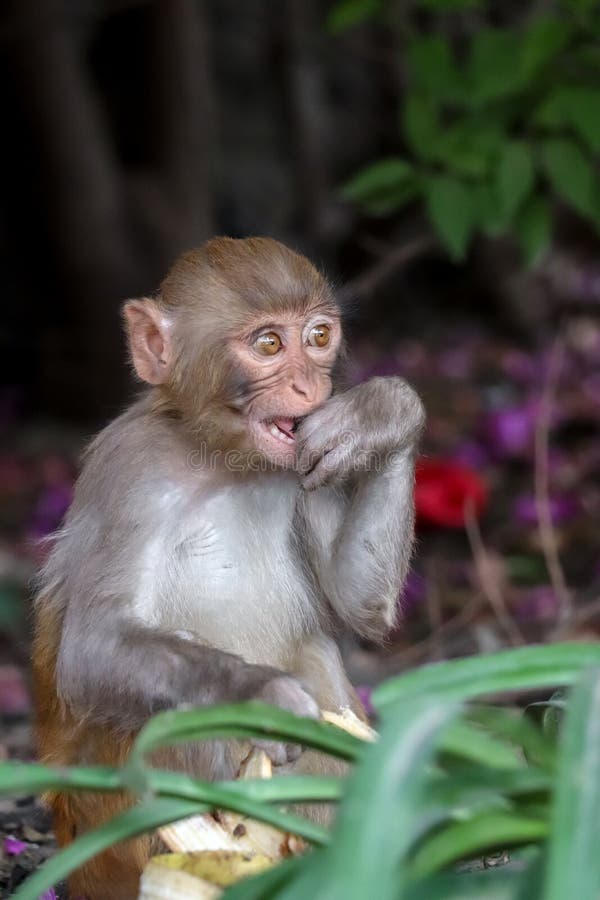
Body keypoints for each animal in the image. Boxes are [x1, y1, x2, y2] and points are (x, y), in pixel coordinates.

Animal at [32, 236, 425, 900]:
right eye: (268, 345)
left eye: (318, 336)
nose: (310, 387)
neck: (218, 458)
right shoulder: (130, 471)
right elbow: (91, 652)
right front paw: (263, 699)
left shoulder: (309, 457)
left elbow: (356, 601)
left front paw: (383, 414)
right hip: (104, 850)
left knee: (315, 651)